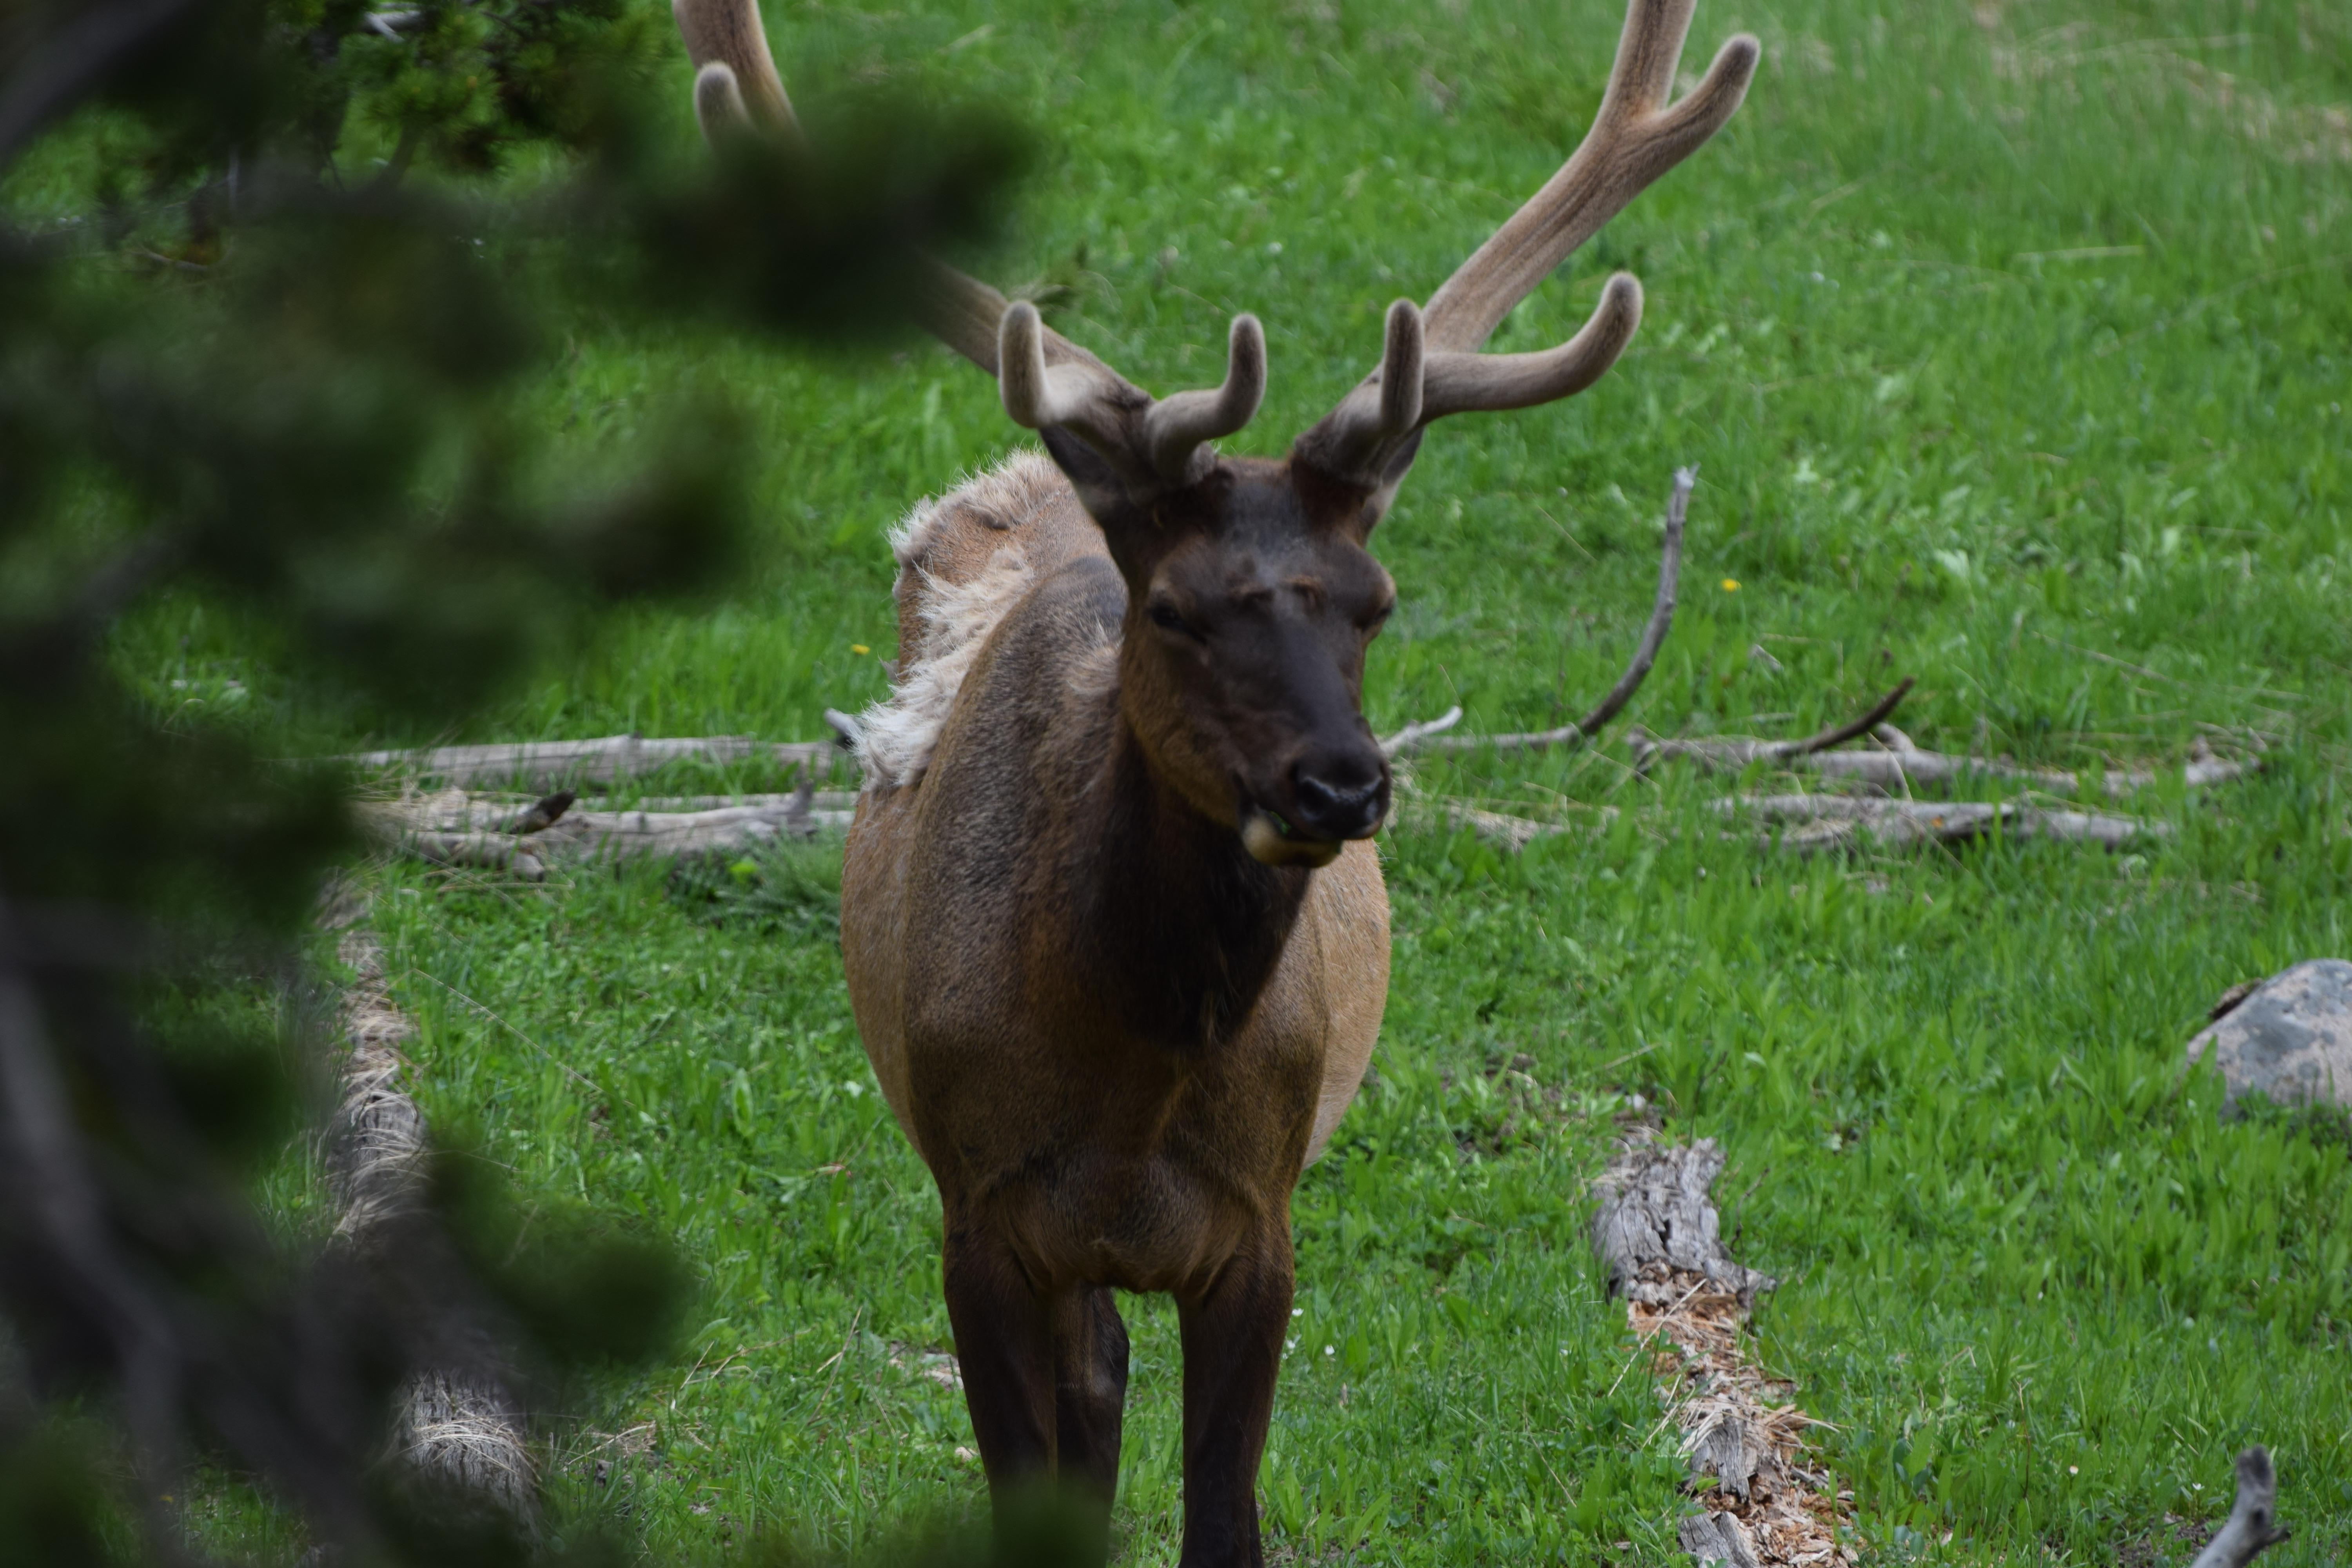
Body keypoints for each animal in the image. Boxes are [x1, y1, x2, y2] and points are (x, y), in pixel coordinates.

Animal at [674, 1, 1755, 1562]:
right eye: (1175, 608)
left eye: (1373, 600)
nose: (1340, 789)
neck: (1129, 1089)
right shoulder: (976, 1219)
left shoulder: (1259, 1228)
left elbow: (1220, 1518)